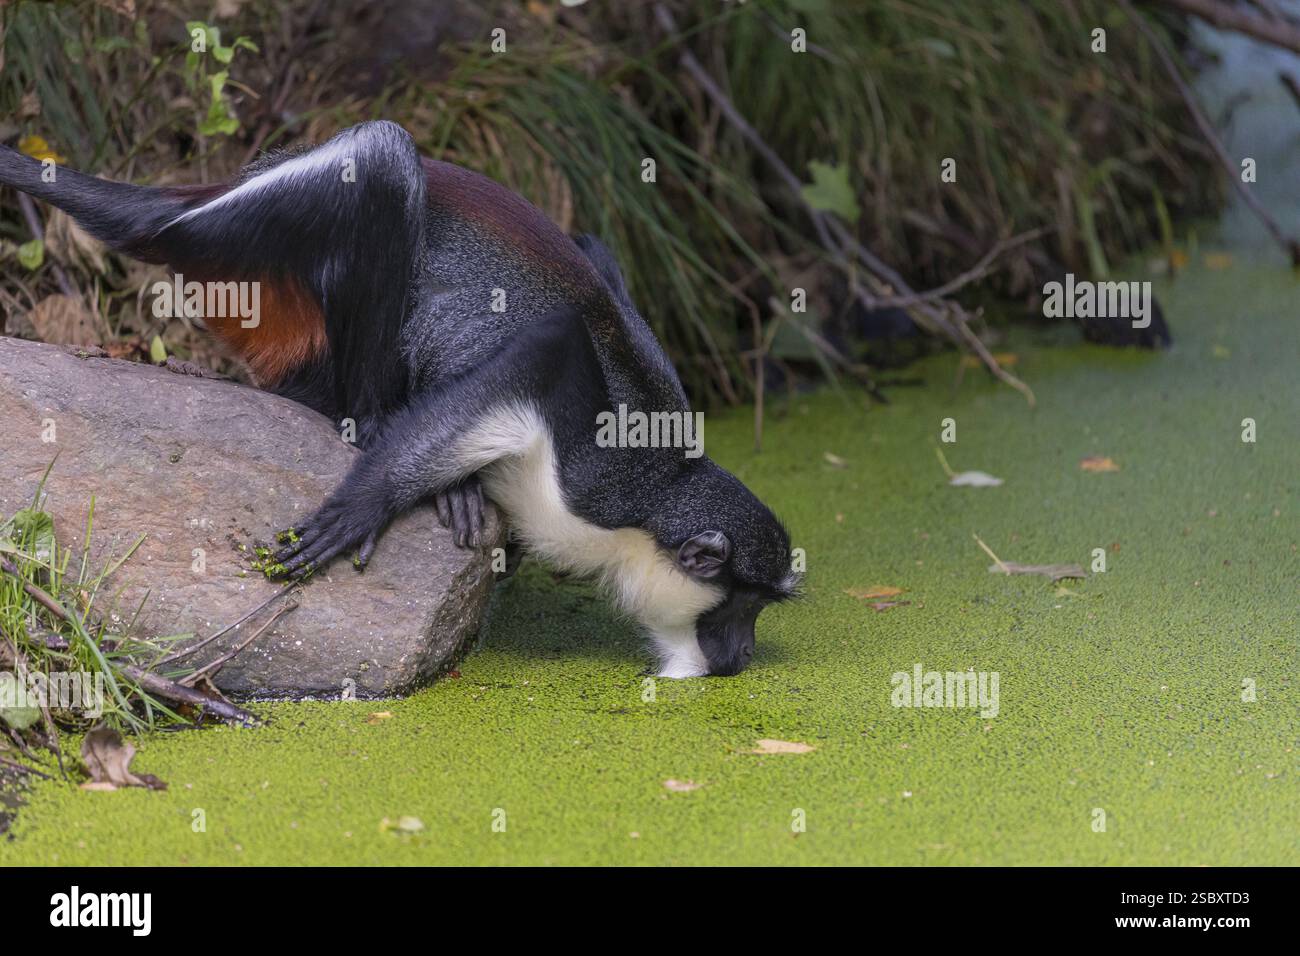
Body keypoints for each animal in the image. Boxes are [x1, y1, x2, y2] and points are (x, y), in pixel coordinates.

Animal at [0, 121, 800, 678]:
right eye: (744, 604)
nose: (741, 654)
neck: (652, 496)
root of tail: (203, 197)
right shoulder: (581, 469)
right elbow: (538, 355)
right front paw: (367, 504)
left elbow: (594, 256)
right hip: (255, 249)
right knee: (383, 161)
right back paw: (376, 425)